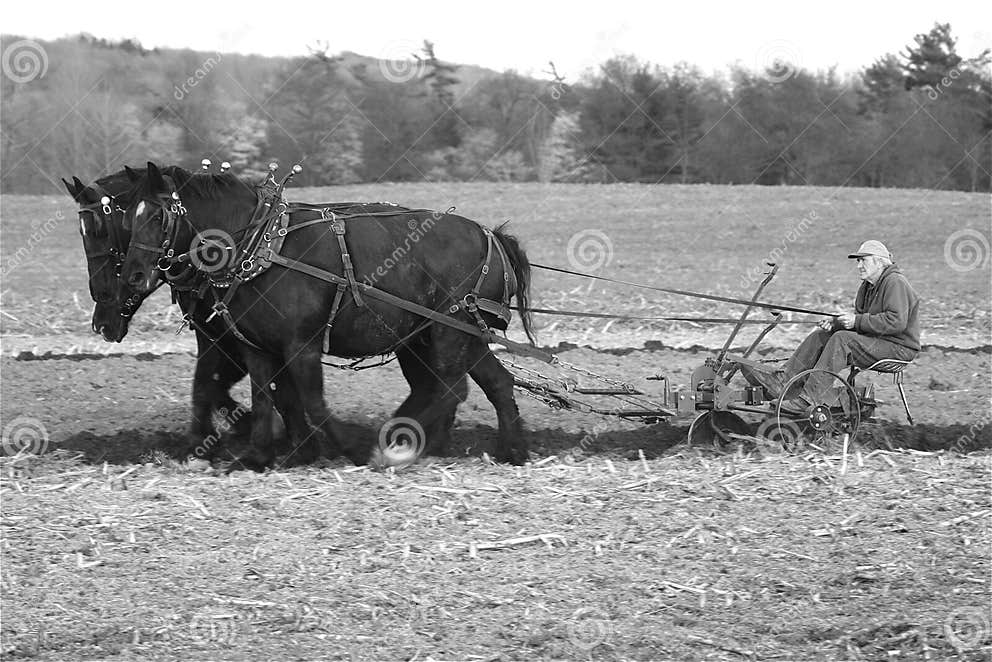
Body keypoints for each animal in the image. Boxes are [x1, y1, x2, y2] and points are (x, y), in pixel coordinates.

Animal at [118, 162, 536, 471]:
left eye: (157, 216)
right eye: (130, 218)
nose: (133, 275)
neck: (260, 248)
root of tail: (491, 236)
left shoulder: (301, 345)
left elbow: (313, 403)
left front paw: (351, 448)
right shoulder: (257, 348)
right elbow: (264, 397)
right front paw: (258, 456)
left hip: (448, 332)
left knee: (449, 389)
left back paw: (396, 445)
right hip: (459, 337)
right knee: (495, 384)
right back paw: (511, 451)